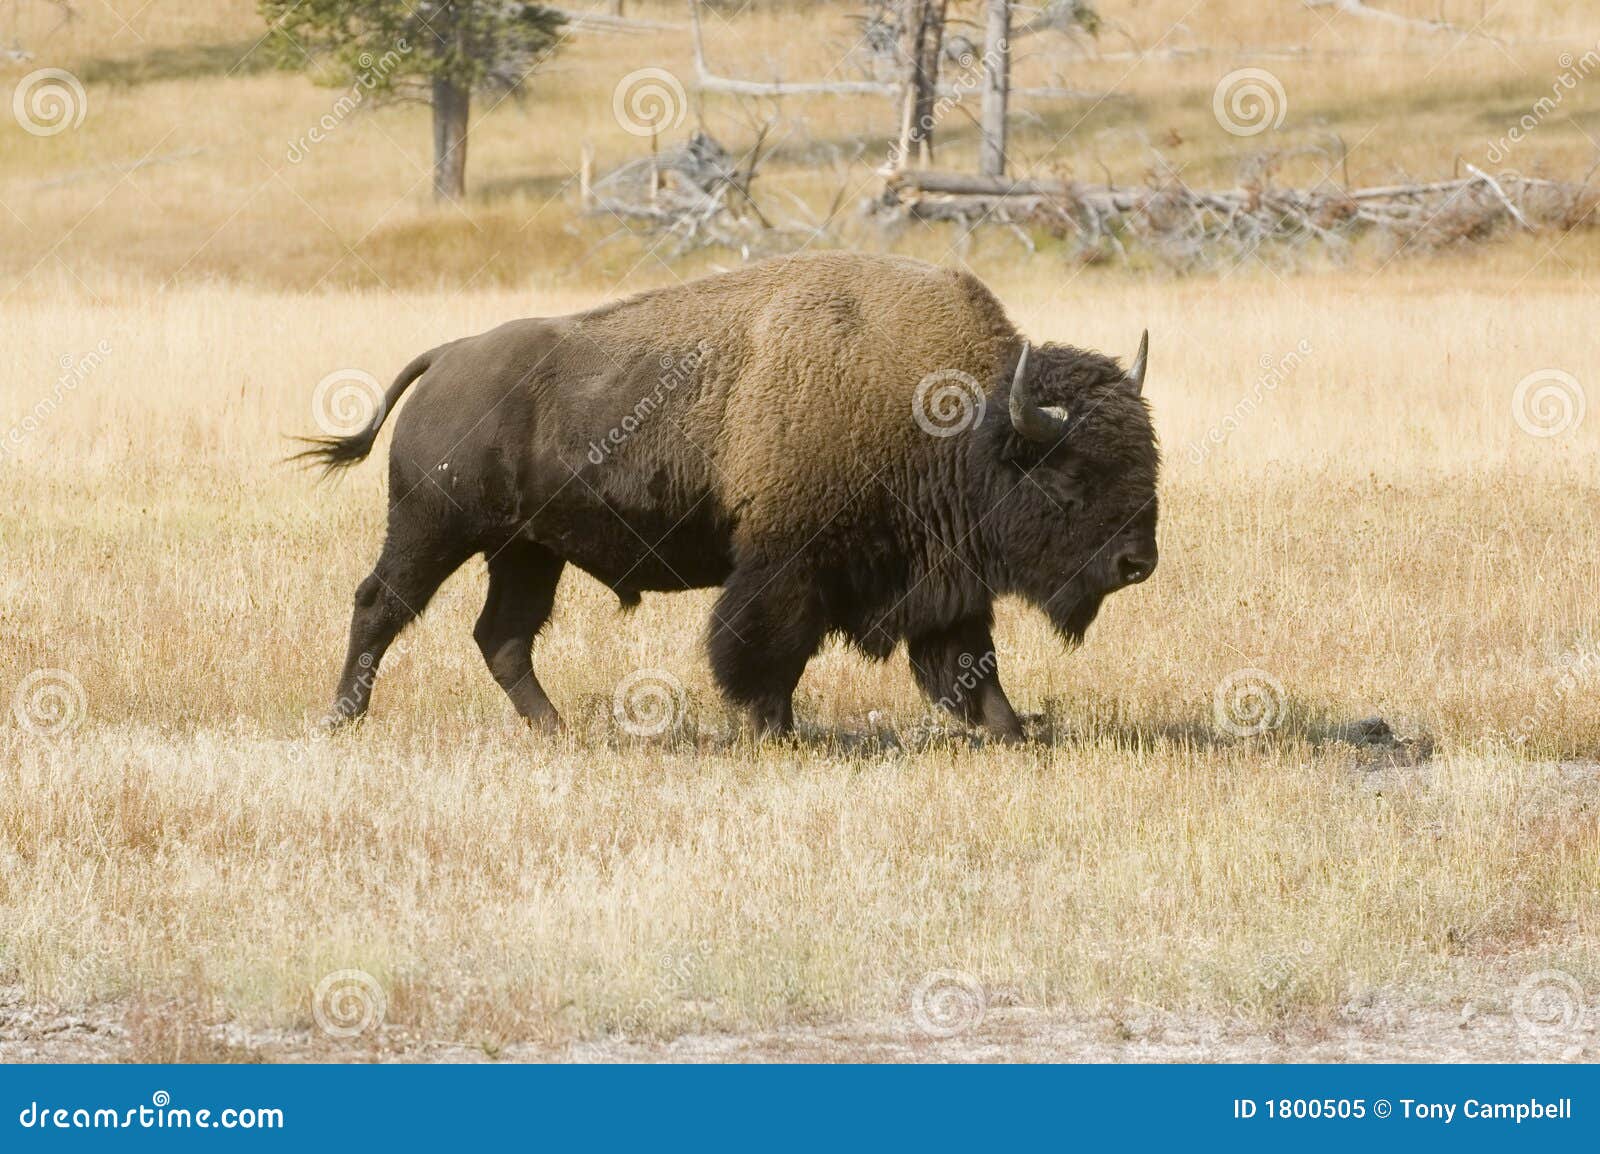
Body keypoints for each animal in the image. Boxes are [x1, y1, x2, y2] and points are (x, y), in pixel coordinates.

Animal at [298, 253, 1159, 739]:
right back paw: (343, 717)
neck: (955, 416)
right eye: (1071, 477)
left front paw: (1014, 730)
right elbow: (765, 650)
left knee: (503, 636)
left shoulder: (941, 578)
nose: (1137, 563)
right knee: (380, 604)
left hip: (527, 551)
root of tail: (448, 356)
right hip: (433, 530)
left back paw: (556, 730)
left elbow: (968, 659)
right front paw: (774, 731)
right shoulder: (787, 565)